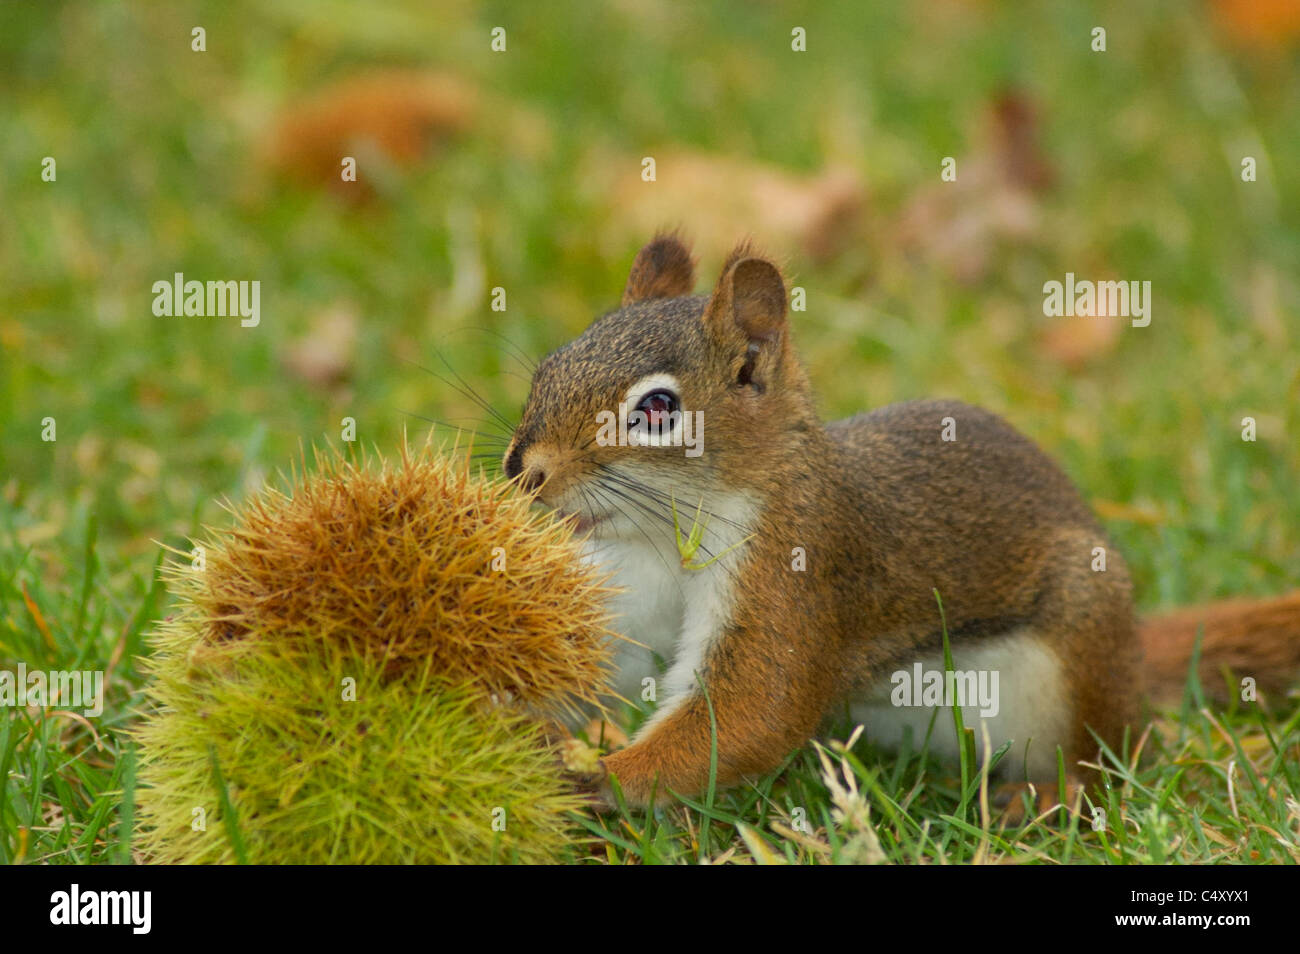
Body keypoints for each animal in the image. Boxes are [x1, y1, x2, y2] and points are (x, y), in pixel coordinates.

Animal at [503, 232, 1300, 811]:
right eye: (547, 366)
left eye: (659, 409)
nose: (522, 470)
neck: (664, 530)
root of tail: (1135, 651)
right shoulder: (631, 591)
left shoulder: (797, 570)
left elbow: (755, 707)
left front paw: (599, 780)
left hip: (1084, 638)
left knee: (1109, 756)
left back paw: (1049, 796)